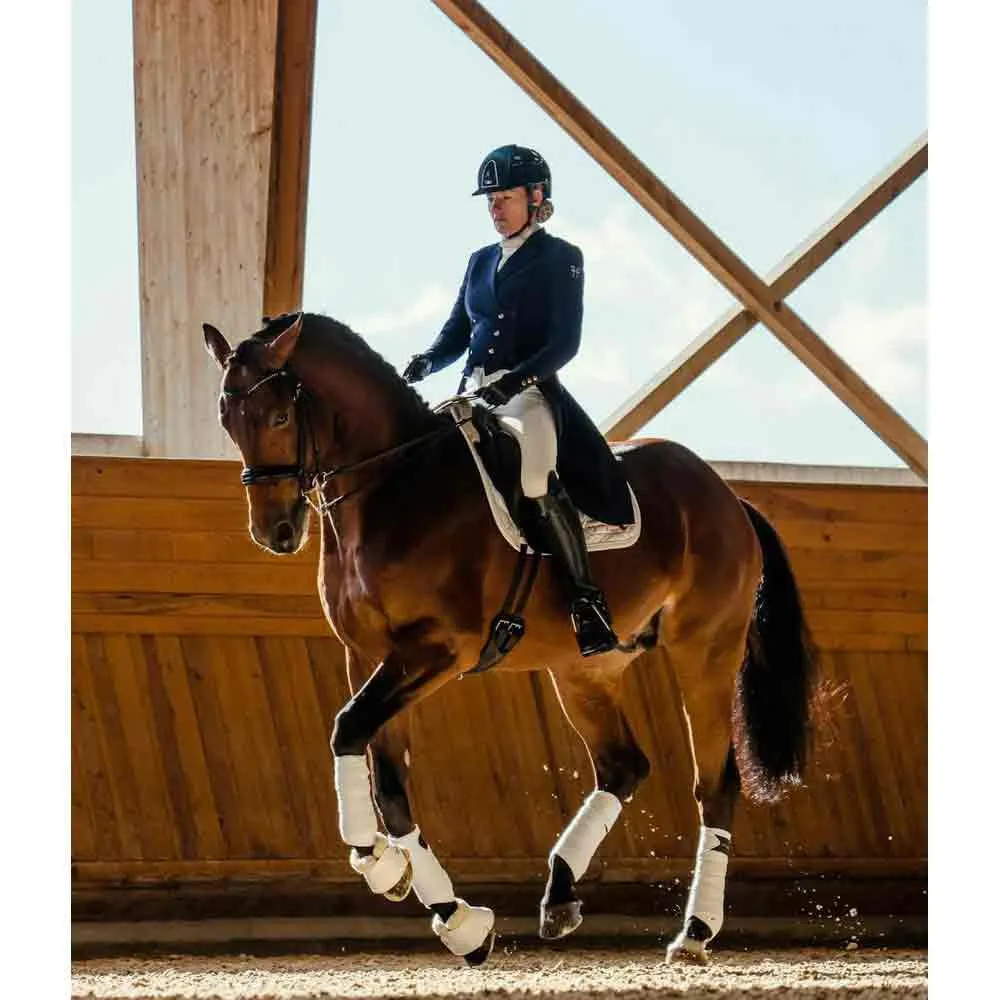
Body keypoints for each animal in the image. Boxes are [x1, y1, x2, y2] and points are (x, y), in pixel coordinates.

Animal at [202, 310, 818, 965]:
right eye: (226, 418)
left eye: (279, 417)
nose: (276, 531)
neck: (394, 487)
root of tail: (726, 493)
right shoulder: (367, 655)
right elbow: (387, 779)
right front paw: (452, 915)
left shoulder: (436, 649)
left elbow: (348, 729)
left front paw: (375, 858)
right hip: (583, 669)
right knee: (623, 766)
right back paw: (561, 894)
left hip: (705, 651)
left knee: (715, 784)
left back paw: (695, 932)